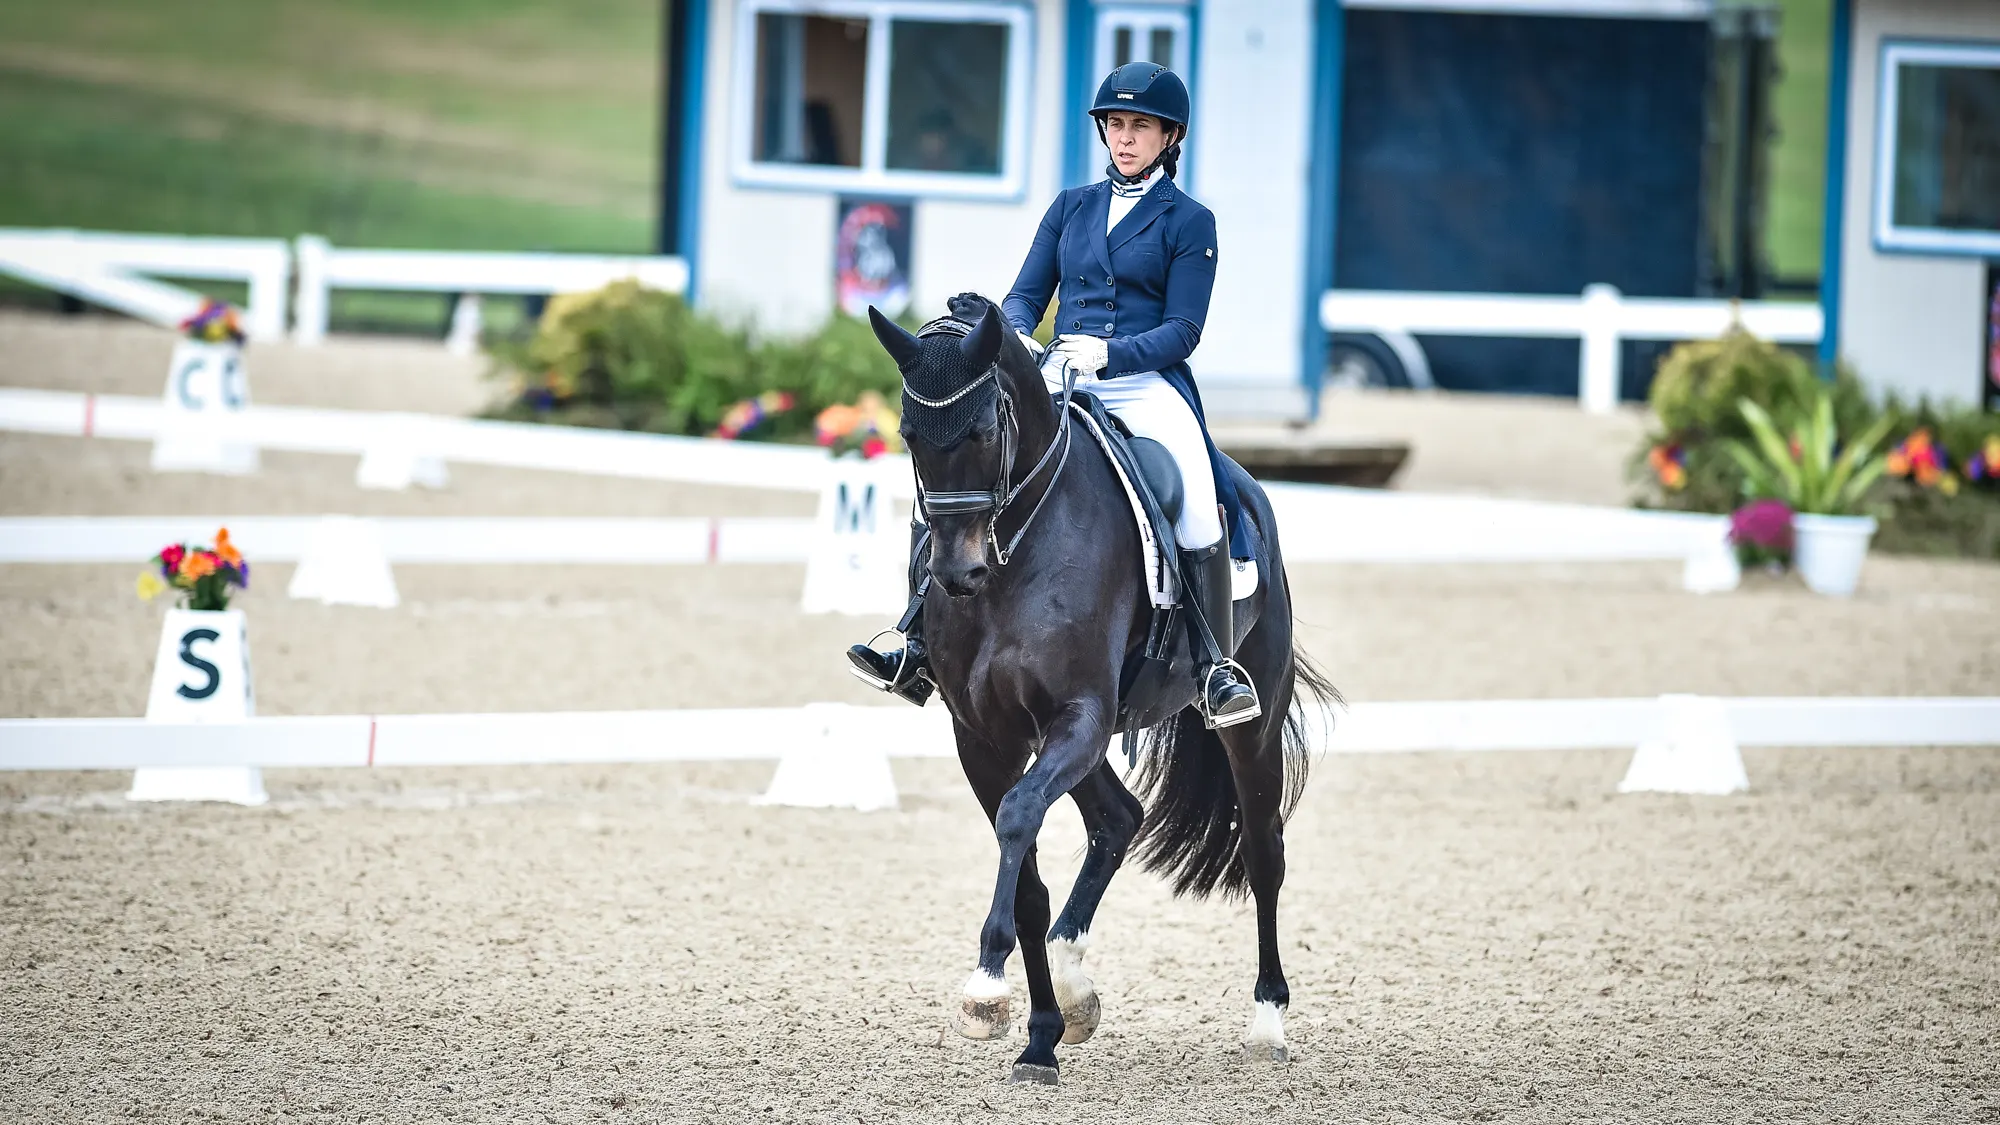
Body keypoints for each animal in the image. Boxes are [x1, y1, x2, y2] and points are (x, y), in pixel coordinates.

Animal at [867, 293, 1338, 1085]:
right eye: (908, 434)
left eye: (985, 428)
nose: (957, 574)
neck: (1017, 549)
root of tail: (1245, 485)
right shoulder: (986, 735)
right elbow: (1026, 869)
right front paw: (1038, 1033)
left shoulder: (1080, 715)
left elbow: (1019, 820)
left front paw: (985, 987)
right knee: (1120, 818)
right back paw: (1072, 987)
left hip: (1250, 722)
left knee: (1263, 851)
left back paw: (1268, 1022)